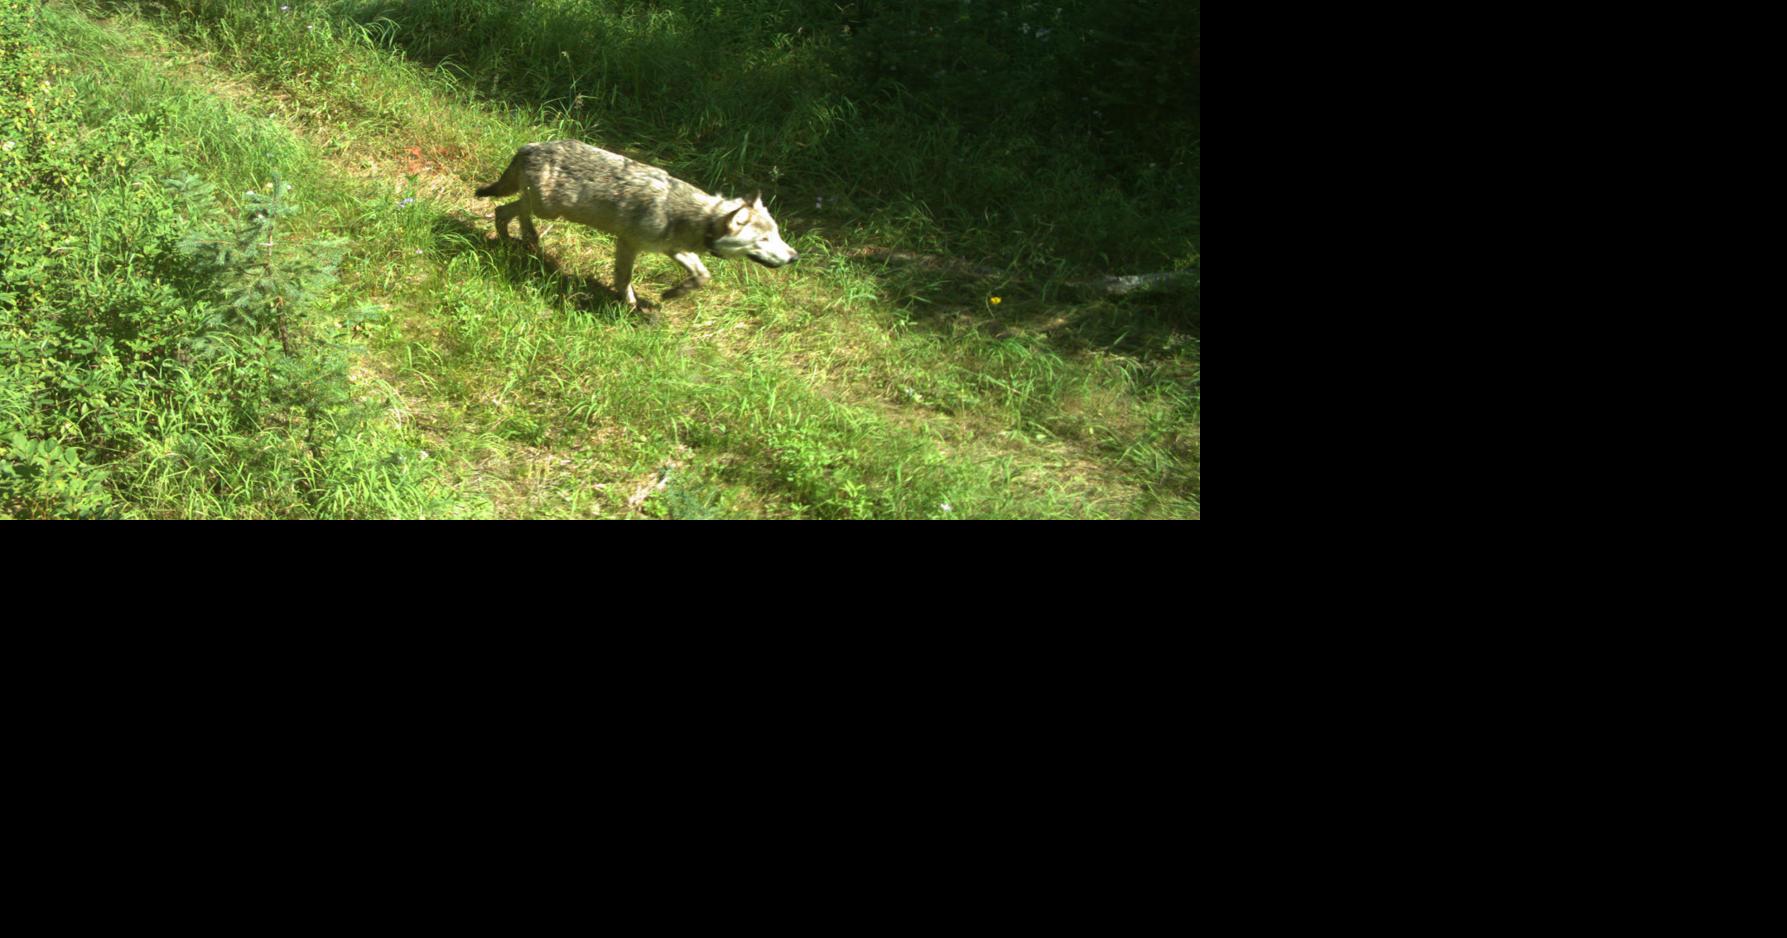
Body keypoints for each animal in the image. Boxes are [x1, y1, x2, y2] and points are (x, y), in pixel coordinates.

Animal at [474, 140, 798, 308]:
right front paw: (630, 306)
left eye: (778, 235)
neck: (693, 217)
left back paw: (517, 240)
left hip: (547, 210)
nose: (795, 257)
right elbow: (624, 279)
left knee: (507, 210)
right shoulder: (628, 243)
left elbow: (702, 275)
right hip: (548, 211)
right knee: (508, 208)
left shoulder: (673, 250)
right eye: (764, 240)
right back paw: (521, 238)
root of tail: (530, 147)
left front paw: (671, 294)